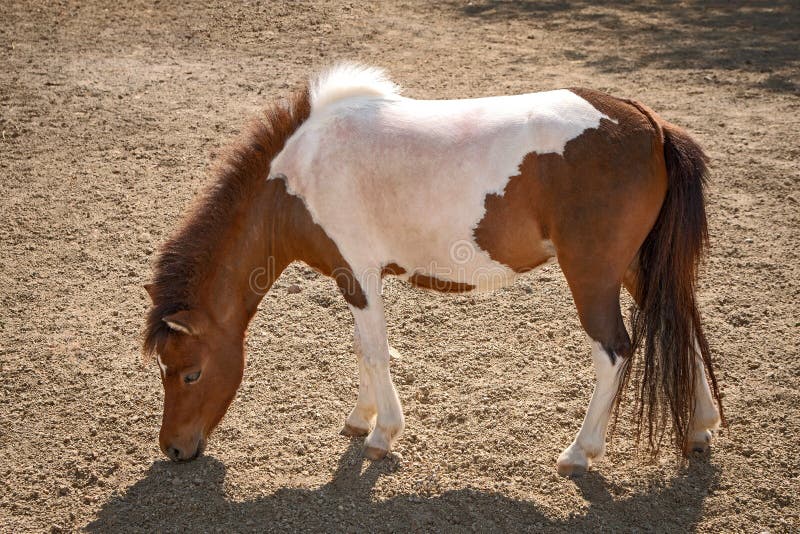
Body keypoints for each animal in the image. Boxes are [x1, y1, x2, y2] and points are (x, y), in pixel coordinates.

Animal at [143, 64, 723, 476]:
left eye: (191, 372)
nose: (173, 449)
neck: (297, 177)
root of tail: (648, 124)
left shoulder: (359, 276)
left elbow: (376, 352)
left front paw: (382, 435)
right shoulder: (354, 281)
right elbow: (364, 349)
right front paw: (361, 418)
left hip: (593, 277)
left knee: (615, 352)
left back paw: (580, 452)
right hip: (637, 270)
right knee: (685, 326)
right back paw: (701, 426)